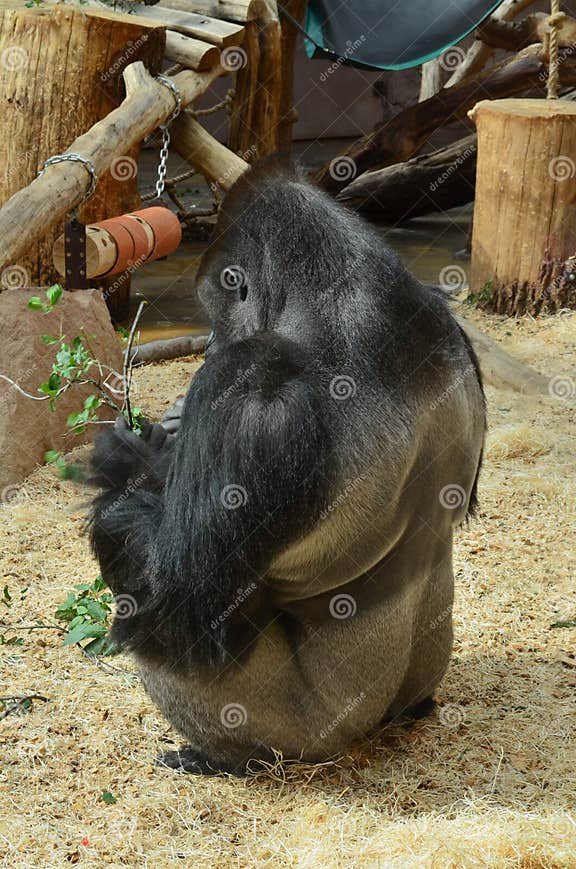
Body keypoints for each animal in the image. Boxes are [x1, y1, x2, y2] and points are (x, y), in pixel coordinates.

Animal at [90, 158, 486, 776]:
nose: (207, 347)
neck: (349, 300)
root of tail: (370, 730)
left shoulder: (249, 383)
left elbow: (175, 596)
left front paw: (131, 460)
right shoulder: (448, 321)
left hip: (301, 737)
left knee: (161, 623)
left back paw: (216, 757)